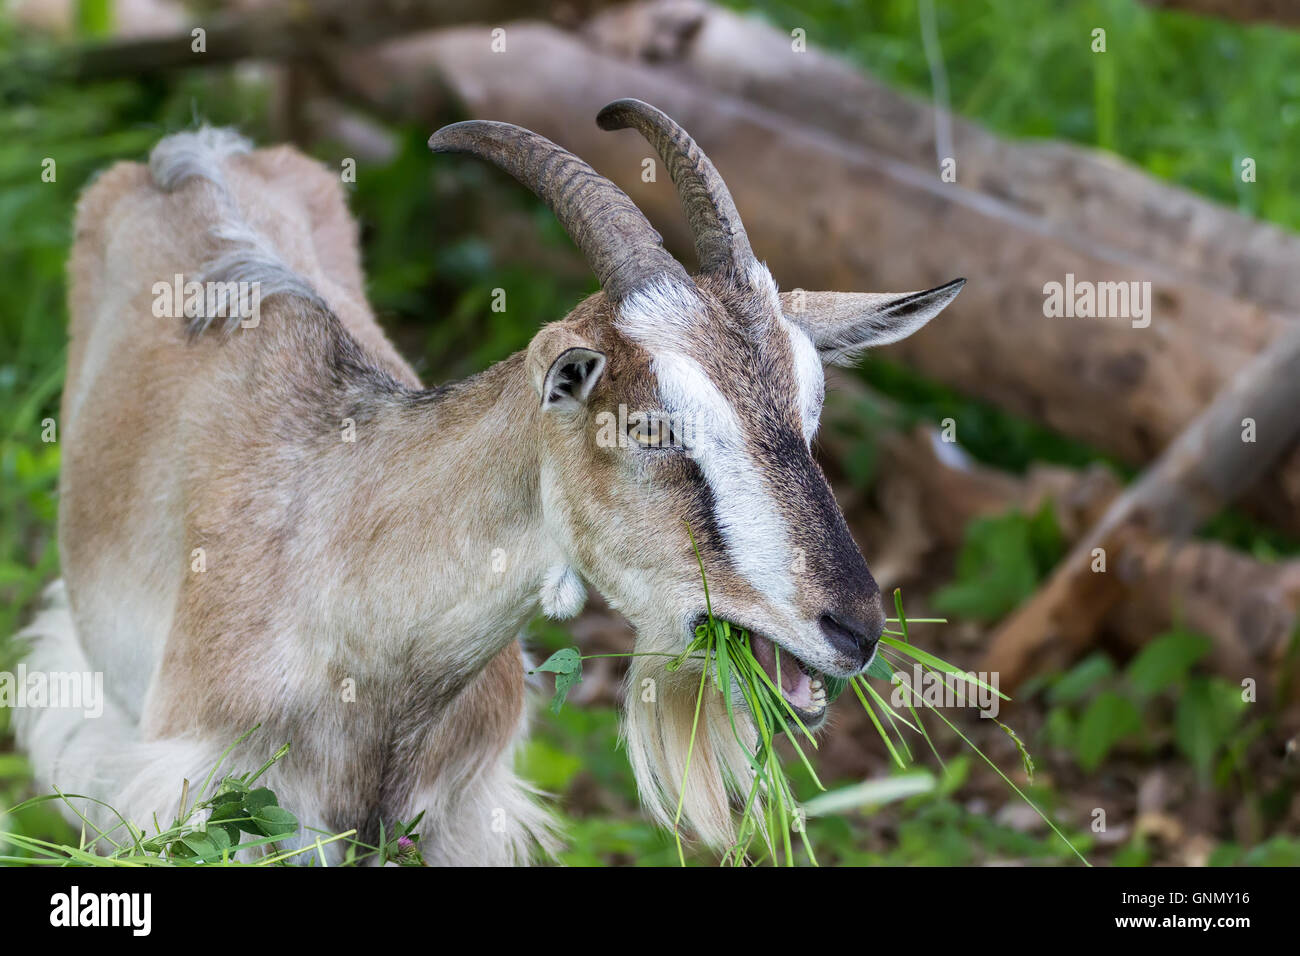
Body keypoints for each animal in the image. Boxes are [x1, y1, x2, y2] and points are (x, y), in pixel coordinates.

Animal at [14, 98, 962, 864]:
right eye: (652, 426)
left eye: (809, 411)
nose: (854, 628)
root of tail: (194, 148)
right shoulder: (211, 796)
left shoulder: (457, 818)